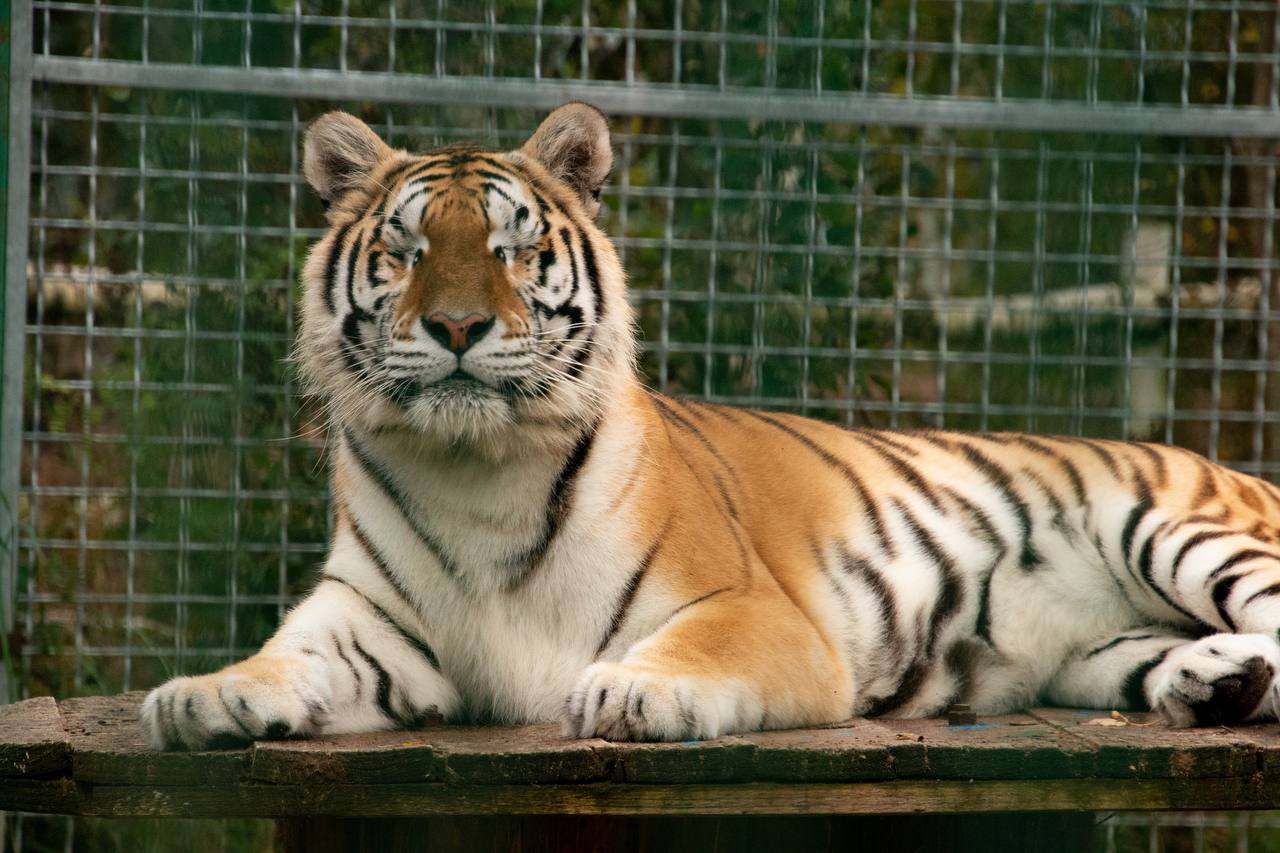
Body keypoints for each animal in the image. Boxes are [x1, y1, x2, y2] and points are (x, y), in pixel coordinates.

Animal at [142, 102, 1280, 750]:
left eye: (513, 248)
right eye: (406, 250)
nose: (457, 324)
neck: (477, 472)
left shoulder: (756, 610)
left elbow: (682, 648)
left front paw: (624, 694)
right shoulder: (365, 625)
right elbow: (278, 661)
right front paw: (199, 697)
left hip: (1178, 530)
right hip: (1100, 649)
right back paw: (1217, 683)